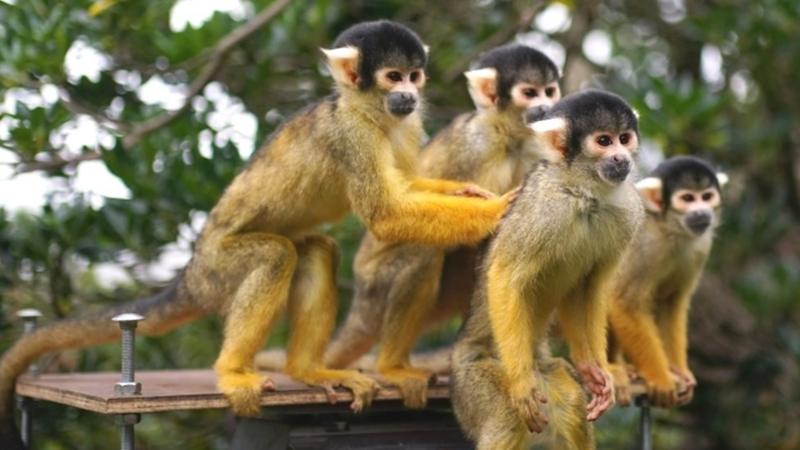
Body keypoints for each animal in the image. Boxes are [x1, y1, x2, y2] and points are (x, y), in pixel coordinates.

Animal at [0, 21, 516, 449]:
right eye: (393, 76)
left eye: (414, 76)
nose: (408, 94)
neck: (369, 111)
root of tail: (190, 272)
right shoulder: (349, 135)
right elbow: (386, 214)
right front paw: (495, 209)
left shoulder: (407, 125)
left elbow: (407, 187)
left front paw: (468, 193)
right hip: (218, 268)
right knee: (274, 257)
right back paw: (233, 372)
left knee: (316, 250)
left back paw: (306, 369)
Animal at [252, 44, 562, 409]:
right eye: (529, 93)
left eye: (549, 91)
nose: (547, 107)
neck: (509, 137)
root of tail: (362, 300)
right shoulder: (475, 147)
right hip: (377, 286)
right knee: (427, 251)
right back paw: (394, 364)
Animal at [450, 89, 645, 450]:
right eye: (604, 141)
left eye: (625, 139)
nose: (621, 158)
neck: (585, 192)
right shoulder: (545, 208)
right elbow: (505, 274)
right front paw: (522, 385)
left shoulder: (629, 212)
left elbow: (591, 286)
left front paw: (596, 371)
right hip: (471, 380)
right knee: (506, 413)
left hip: (544, 367)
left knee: (570, 403)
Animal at [607, 156, 727, 408]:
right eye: (688, 199)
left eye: (707, 196)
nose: (702, 212)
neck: (668, 227)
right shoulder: (645, 243)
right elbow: (625, 302)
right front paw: (662, 379)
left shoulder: (701, 247)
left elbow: (672, 303)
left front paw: (679, 371)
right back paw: (612, 368)